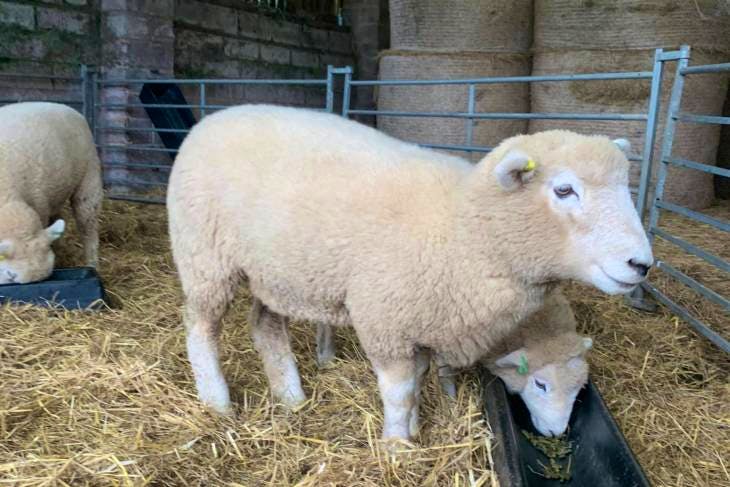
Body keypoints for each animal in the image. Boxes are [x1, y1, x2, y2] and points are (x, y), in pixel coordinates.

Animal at [167, 104, 653, 441]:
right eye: (564, 190)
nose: (642, 264)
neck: (462, 230)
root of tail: (211, 120)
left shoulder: (422, 320)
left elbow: (419, 381)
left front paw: (417, 427)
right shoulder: (385, 318)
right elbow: (399, 391)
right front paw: (397, 446)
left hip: (275, 272)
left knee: (265, 326)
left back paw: (290, 397)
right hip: (204, 256)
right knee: (200, 325)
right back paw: (217, 402)